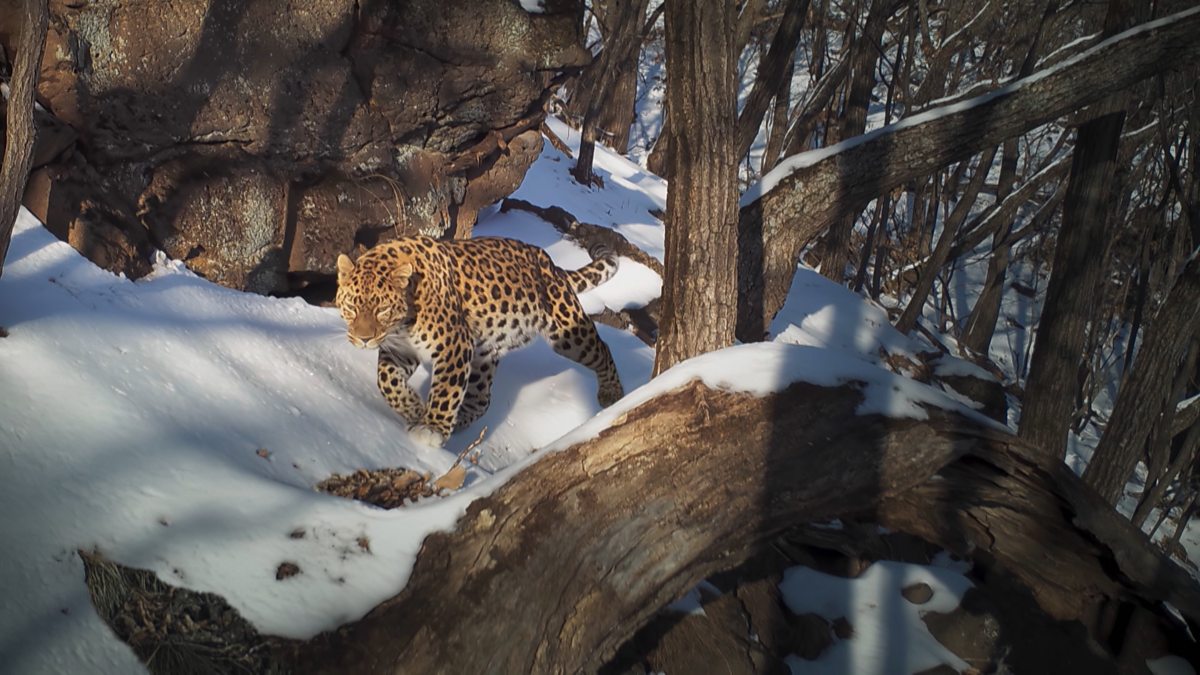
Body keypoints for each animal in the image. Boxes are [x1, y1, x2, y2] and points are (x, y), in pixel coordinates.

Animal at [335, 235, 625, 448]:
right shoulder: (400, 350)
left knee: (602, 349)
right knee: (481, 398)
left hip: (567, 332)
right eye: (351, 306)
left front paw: (431, 428)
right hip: (485, 353)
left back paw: (613, 393)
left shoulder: (454, 343)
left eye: (382, 309)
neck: (401, 324)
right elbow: (387, 381)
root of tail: (552, 265)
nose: (363, 339)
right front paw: (414, 409)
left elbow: (446, 389)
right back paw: (459, 420)